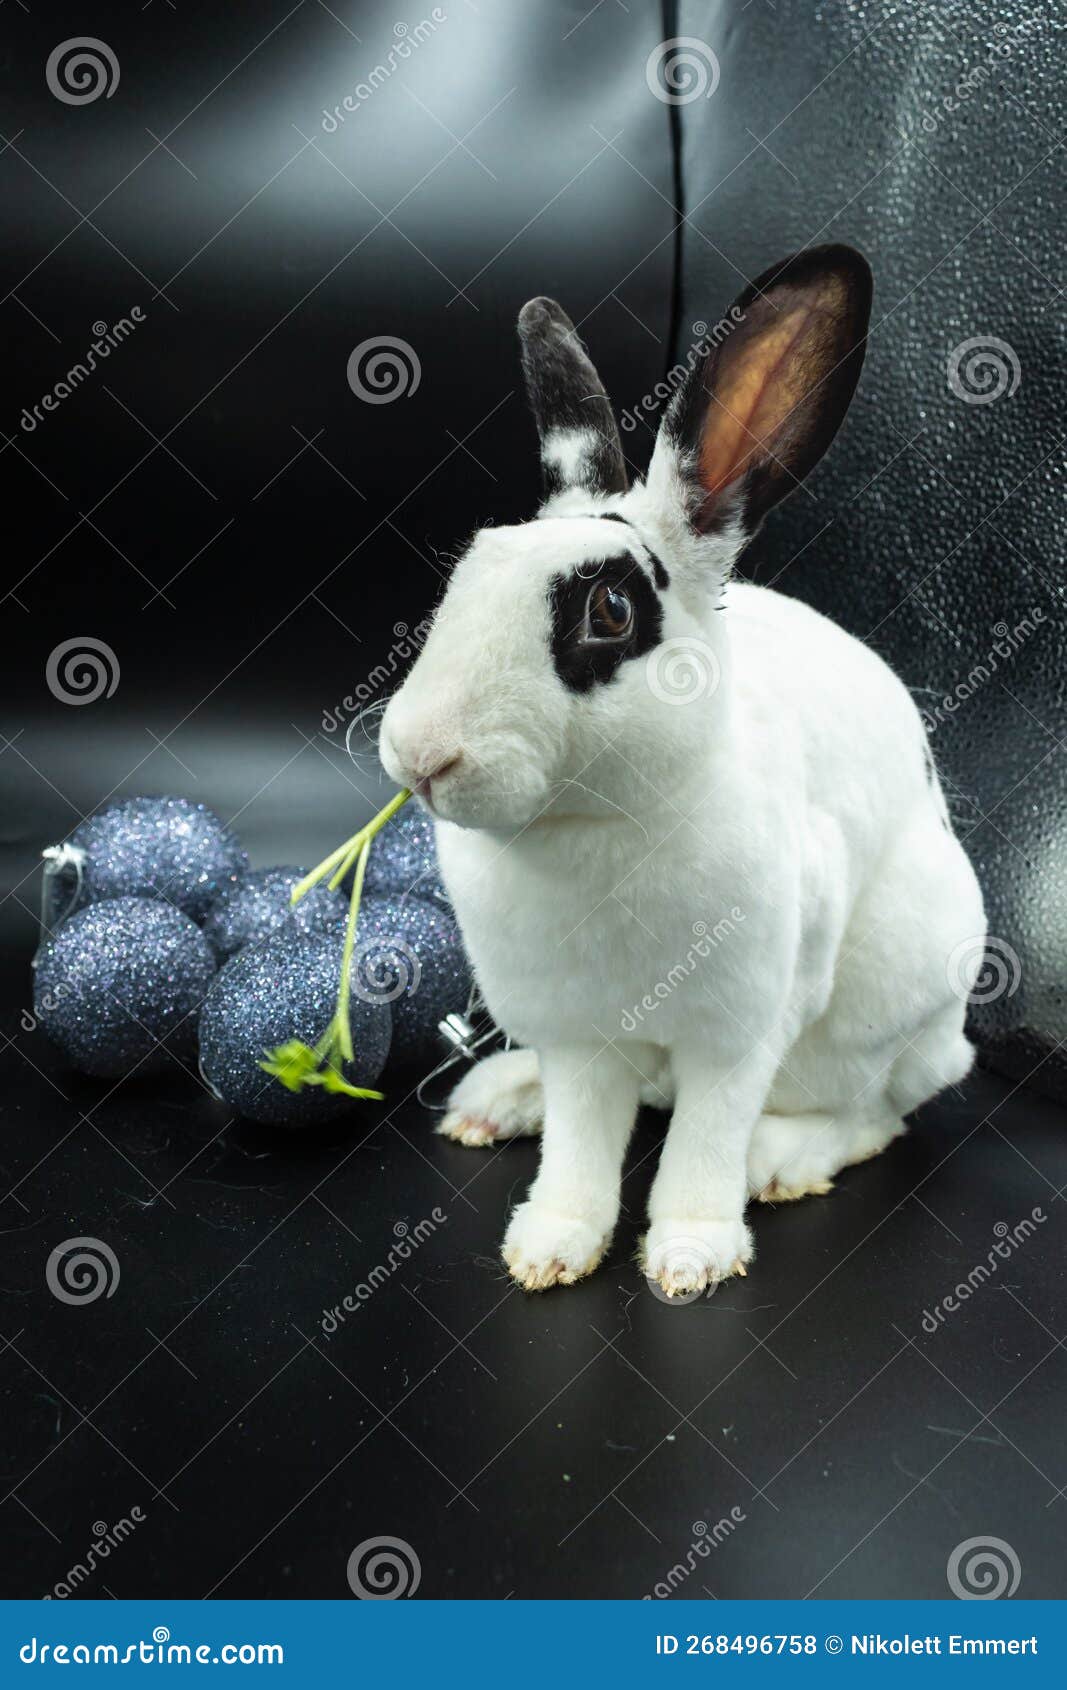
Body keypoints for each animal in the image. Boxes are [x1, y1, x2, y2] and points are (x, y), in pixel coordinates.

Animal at [379, 243, 986, 1297]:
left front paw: (689, 1258)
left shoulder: (735, 1032)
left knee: (879, 1111)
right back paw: (495, 1100)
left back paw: (780, 1163)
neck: (591, 828)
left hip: (893, 1001)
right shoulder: (577, 1034)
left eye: (611, 612)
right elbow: (583, 1140)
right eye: (471, 568)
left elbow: (705, 1137)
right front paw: (549, 1247)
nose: (420, 754)